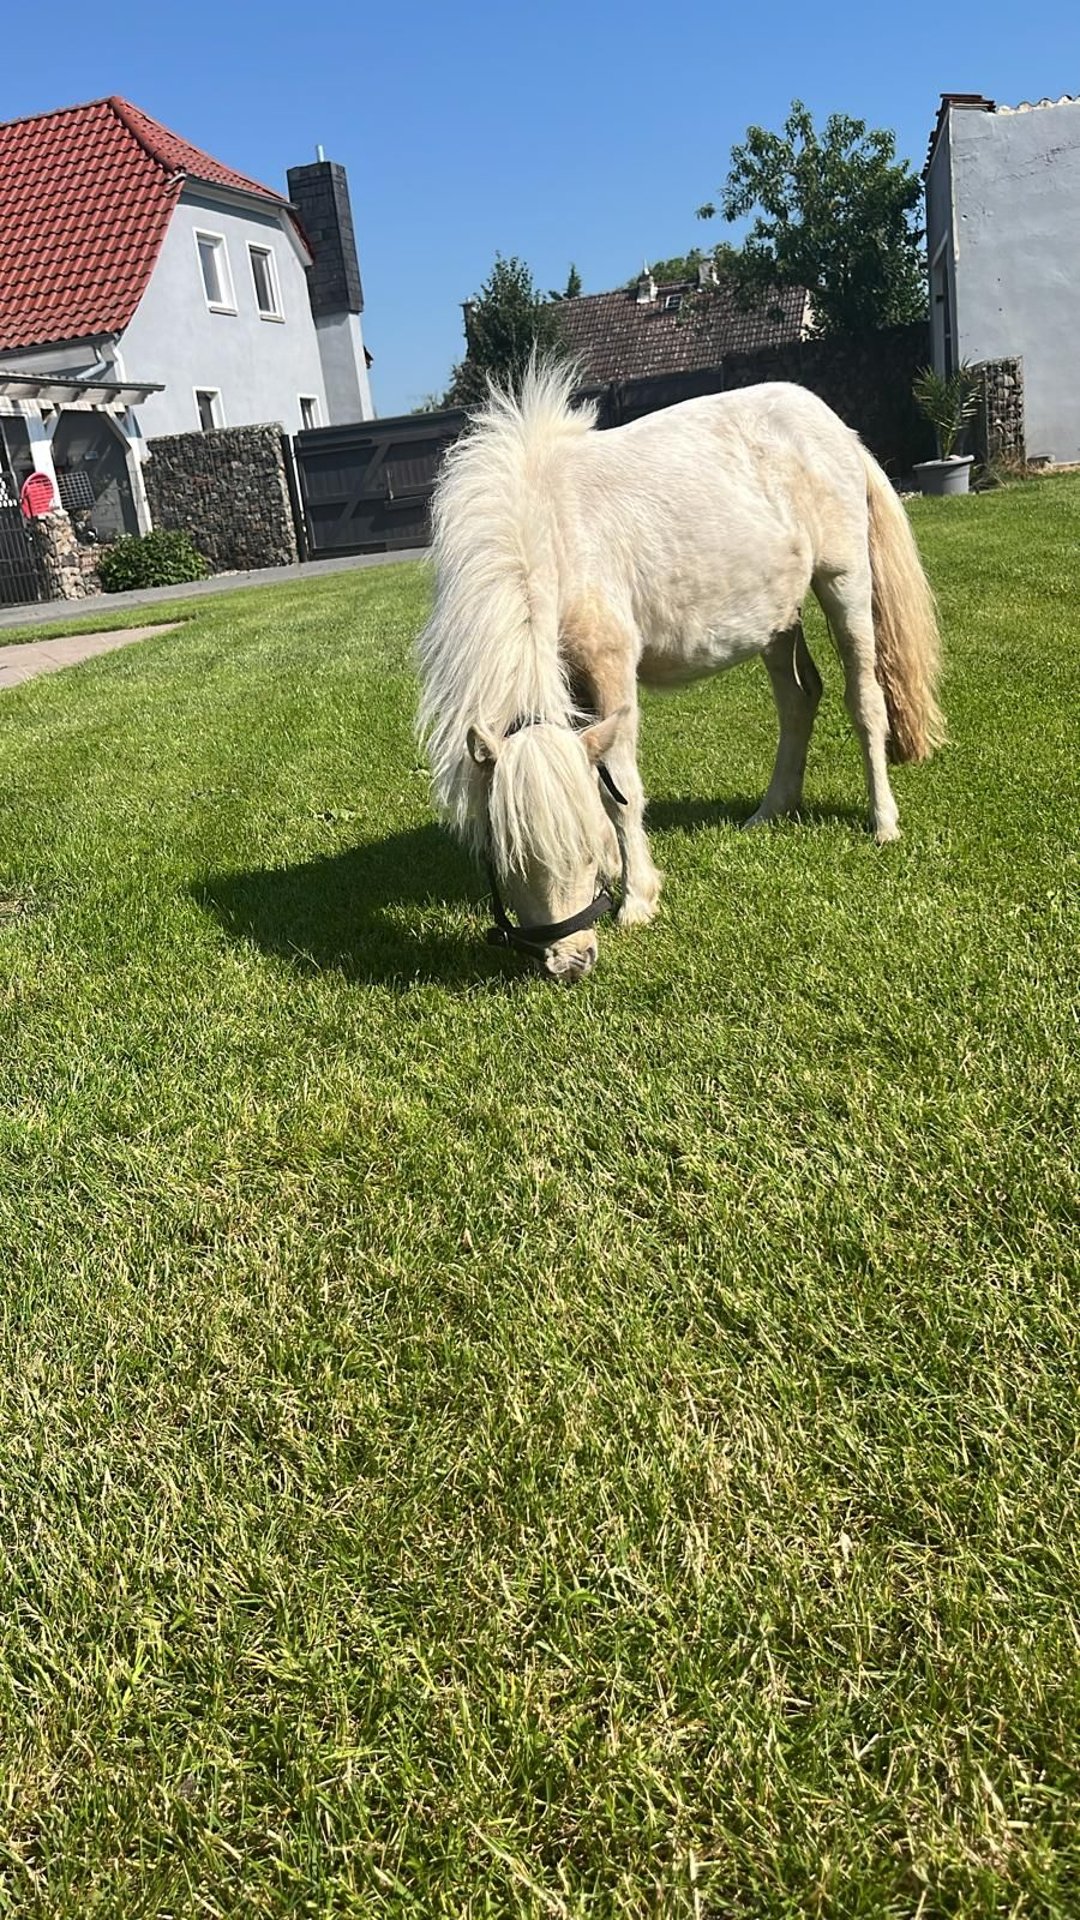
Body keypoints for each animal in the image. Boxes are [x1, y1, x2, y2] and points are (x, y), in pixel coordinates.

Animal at [416, 361, 943, 982]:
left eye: (583, 852)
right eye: (508, 858)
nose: (571, 963)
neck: (550, 534)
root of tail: (840, 431)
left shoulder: (609, 664)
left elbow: (621, 785)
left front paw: (637, 896)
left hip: (845, 582)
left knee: (864, 701)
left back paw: (883, 822)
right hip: (774, 615)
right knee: (798, 698)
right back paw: (771, 811)